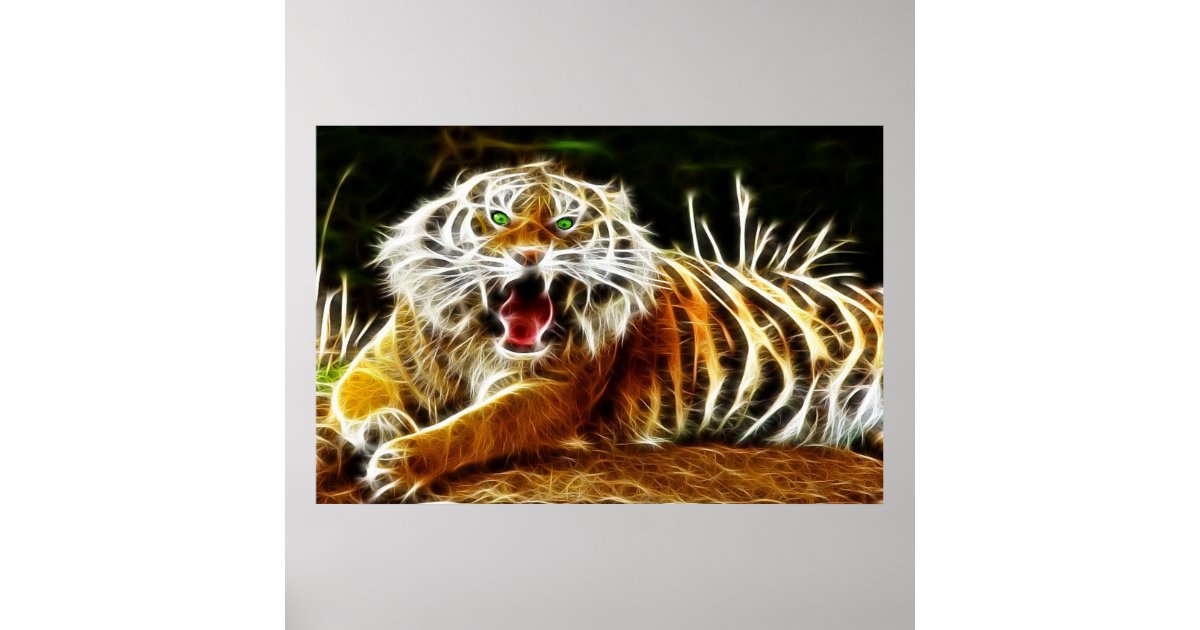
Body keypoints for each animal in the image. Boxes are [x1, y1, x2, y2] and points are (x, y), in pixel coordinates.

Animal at [326, 161, 883, 501]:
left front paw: (401, 463)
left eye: (566, 224)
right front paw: (383, 427)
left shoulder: (554, 392)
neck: (480, 337)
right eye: (499, 217)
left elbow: (477, 424)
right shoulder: (382, 359)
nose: (530, 255)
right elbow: (353, 391)